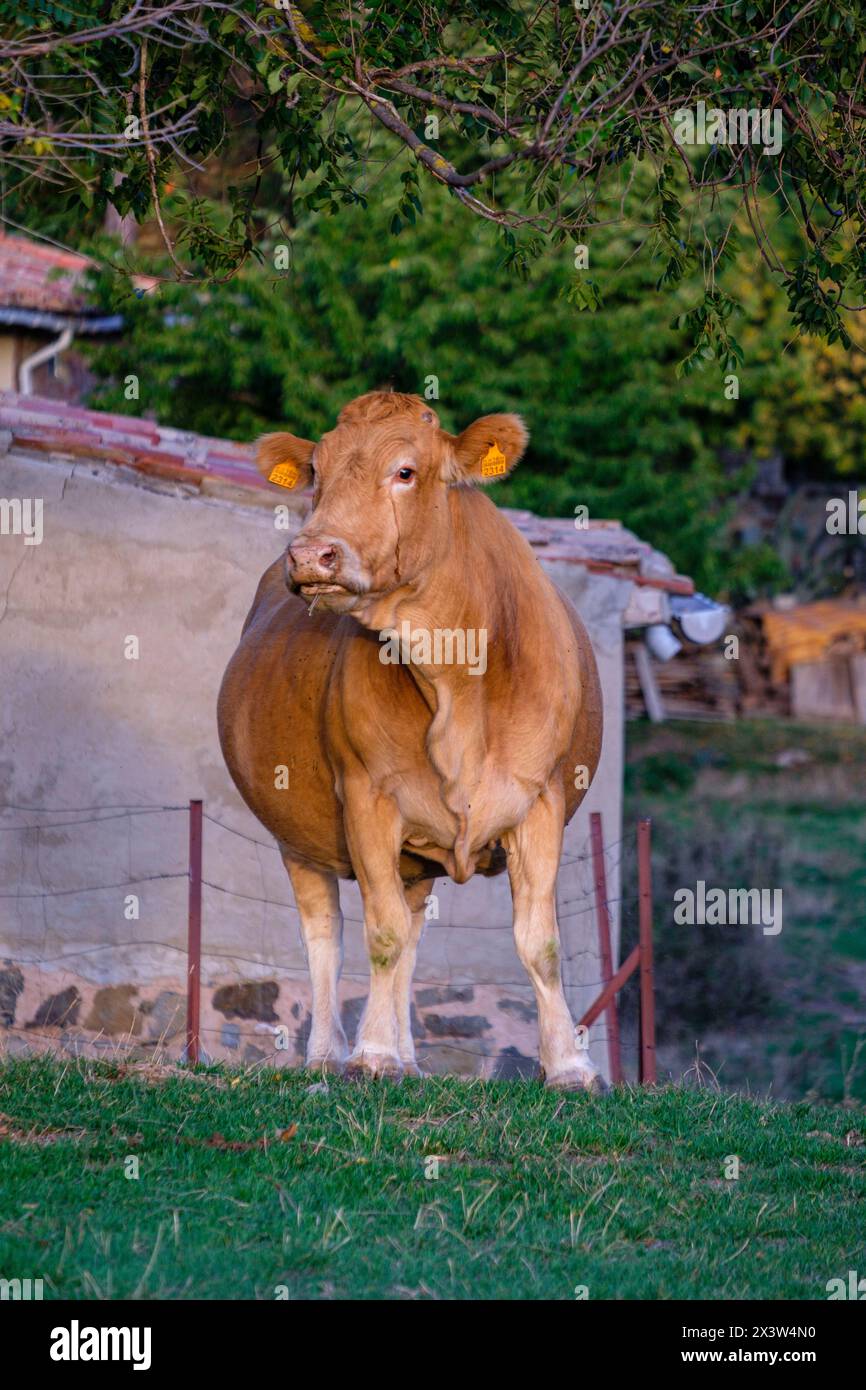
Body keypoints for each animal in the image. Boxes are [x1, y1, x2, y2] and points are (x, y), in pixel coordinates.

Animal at [218, 391, 604, 1090]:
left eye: (405, 472)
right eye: (315, 471)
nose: (310, 556)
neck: (455, 681)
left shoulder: (541, 801)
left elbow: (540, 943)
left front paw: (569, 1066)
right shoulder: (367, 799)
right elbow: (381, 938)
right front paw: (371, 1054)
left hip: (417, 856)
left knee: (411, 926)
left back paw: (407, 1057)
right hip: (297, 835)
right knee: (329, 934)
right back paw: (332, 1054)